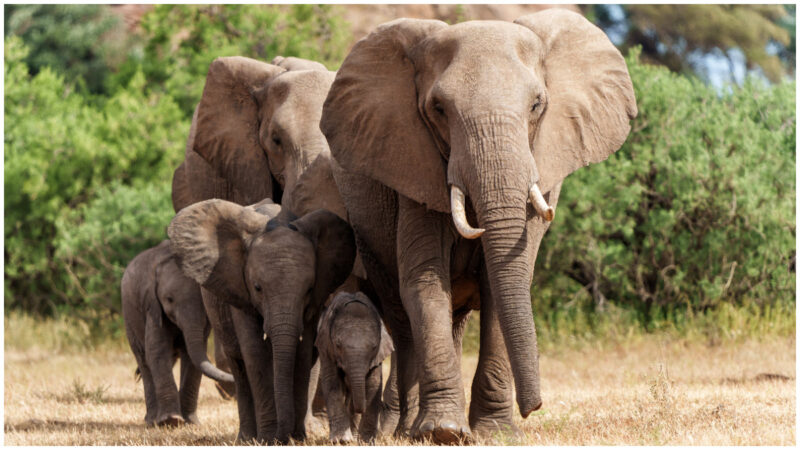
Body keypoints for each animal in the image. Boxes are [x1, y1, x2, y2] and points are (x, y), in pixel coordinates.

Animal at [121, 240, 234, 427]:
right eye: (169, 299)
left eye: (203, 301)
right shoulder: (152, 307)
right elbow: (157, 352)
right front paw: (171, 421)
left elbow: (192, 357)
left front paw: (190, 422)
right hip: (129, 317)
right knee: (143, 359)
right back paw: (151, 421)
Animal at [168, 199, 356, 443]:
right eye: (257, 288)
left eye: (309, 289)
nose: (284, 437)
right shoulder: (240, 291)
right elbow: (255, 354)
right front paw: (268, 439)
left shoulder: (314, 301)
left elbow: (303, 354)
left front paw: (297, 439)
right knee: (239, 365)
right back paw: (247, 438)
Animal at [315, 291, 394, 443]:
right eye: (338, 345)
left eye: (374, 347)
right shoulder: (326, 346)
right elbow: (332, 381)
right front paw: (341, 441)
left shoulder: (377, 356)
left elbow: (373, 383)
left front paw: (366, 442)